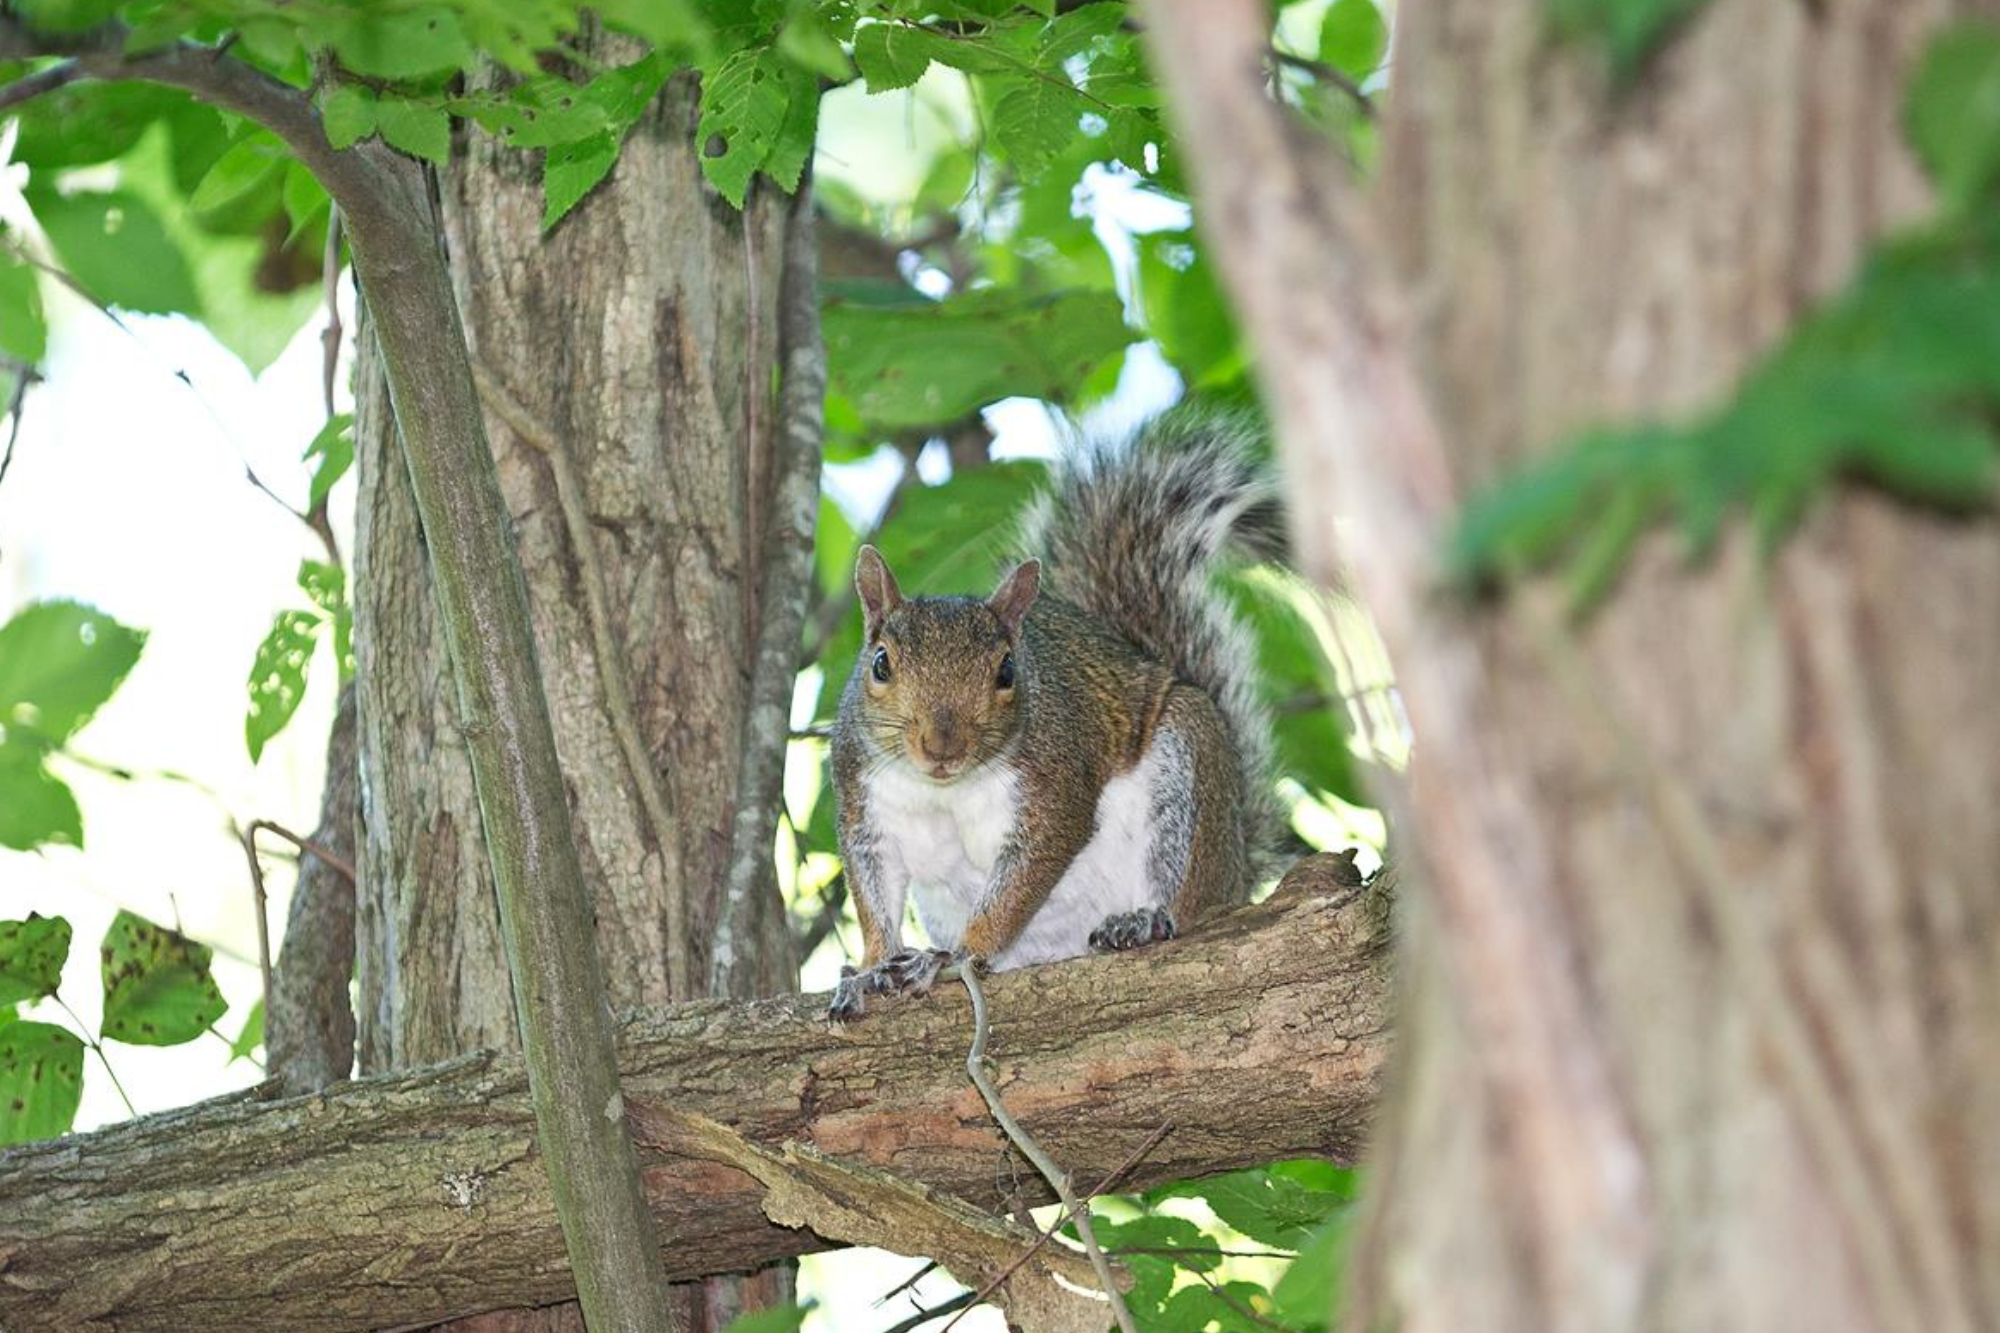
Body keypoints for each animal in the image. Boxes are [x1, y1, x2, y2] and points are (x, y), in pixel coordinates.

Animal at [826, 408, 1287, 1020]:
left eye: (1006, 671)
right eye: (880, 663)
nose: (942, 746)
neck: (945, 789)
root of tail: (1236, 866)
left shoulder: (1055, 786)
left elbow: (1022, 880)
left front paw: (956, 956)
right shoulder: (863, 803)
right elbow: (873, 891)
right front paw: (870, 968)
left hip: (1188, 770)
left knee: (1187, 897)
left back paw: (1145, 920)